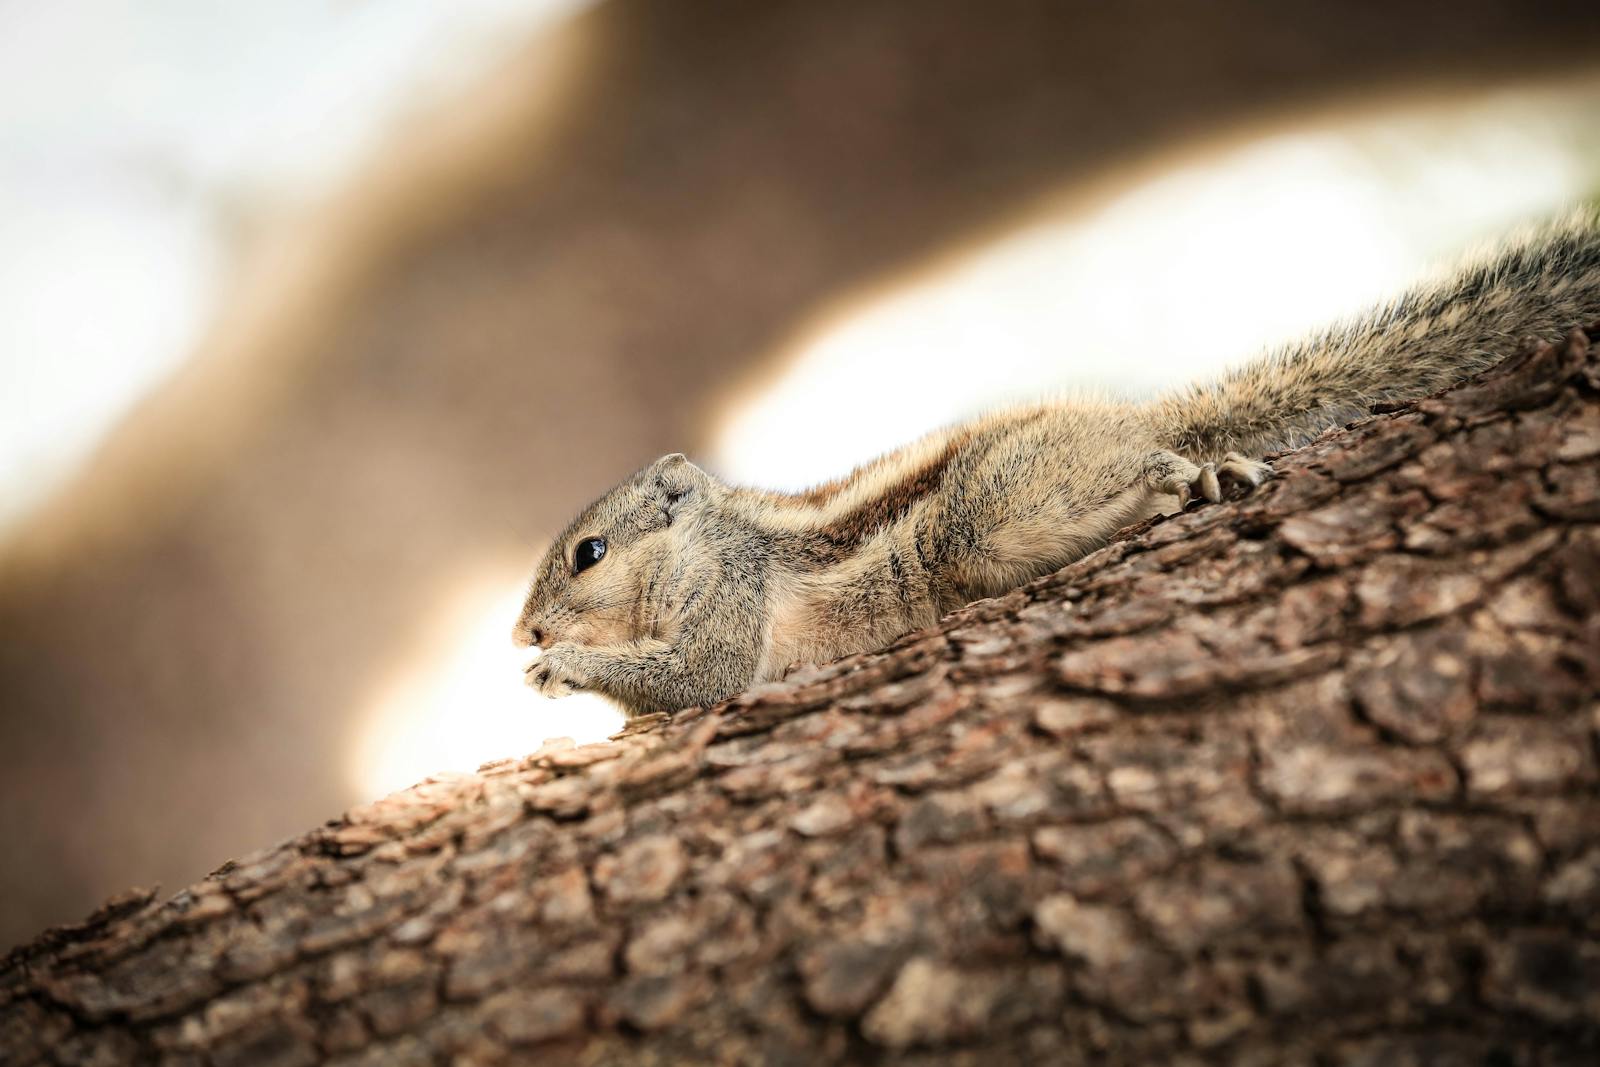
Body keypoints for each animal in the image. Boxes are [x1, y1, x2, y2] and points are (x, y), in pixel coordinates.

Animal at [515, 210, 1600, 716]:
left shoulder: (731, 596)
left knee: (1142, 473)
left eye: (589, 553)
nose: (522, 629)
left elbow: (701, 673)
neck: (703, 544)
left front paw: (565, 667)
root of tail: (1125, 421)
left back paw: (1186, 477)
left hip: (985, 518)